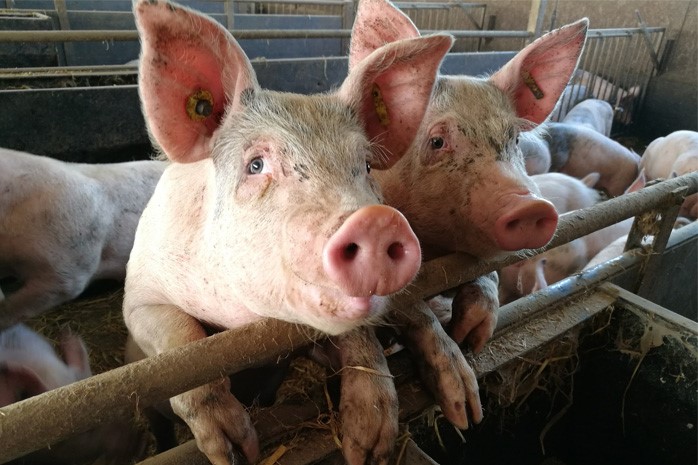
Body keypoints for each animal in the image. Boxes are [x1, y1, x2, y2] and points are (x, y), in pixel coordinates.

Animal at [122, 1, 453, 465]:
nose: (375, 220)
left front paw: (368, 446)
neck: (243, 320)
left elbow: (359, 335)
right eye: (256, 165)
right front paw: (236, 450)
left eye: (367, 165)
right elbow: (182, 345)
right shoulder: (139, 297)